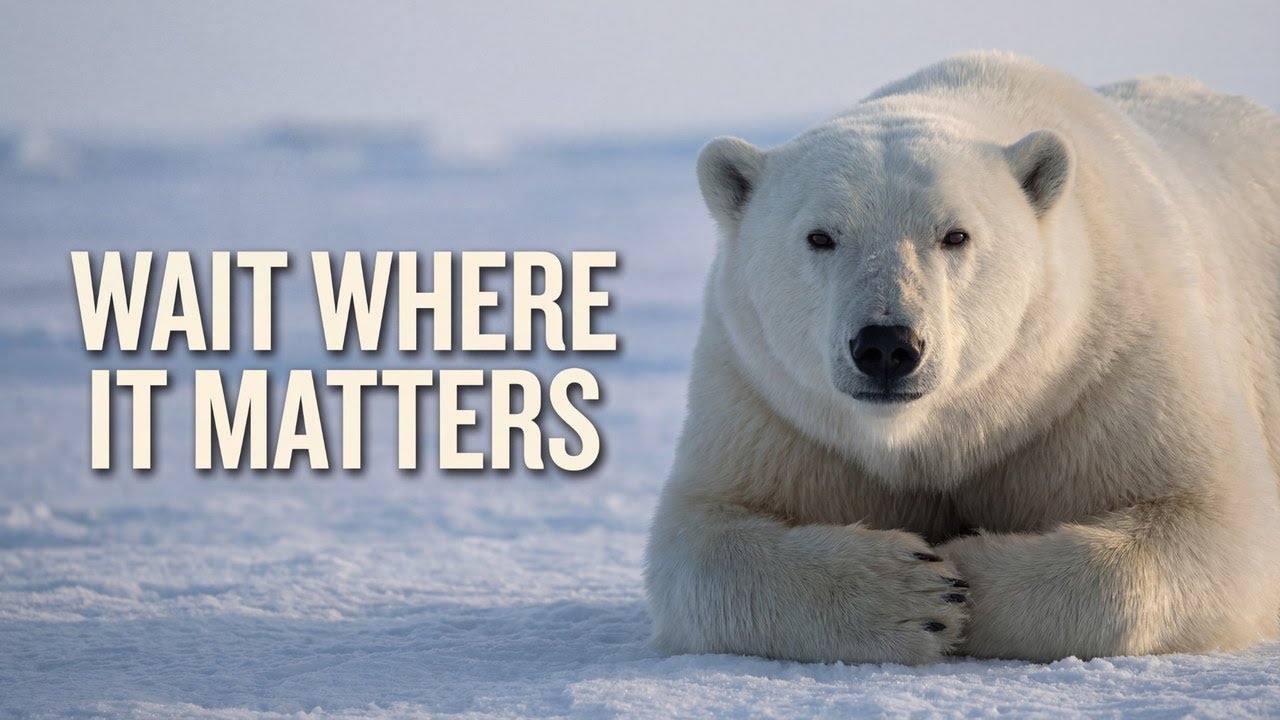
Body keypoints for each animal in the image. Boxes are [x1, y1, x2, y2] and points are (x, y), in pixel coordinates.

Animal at [644, 51, 1280, 664]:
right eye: (820, 236)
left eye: (955, 235)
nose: (887, 345)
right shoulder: (773, 403)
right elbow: (700, 537)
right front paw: (915, 596)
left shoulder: (1106, 371)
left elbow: (1218, 516)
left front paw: (964, 576)